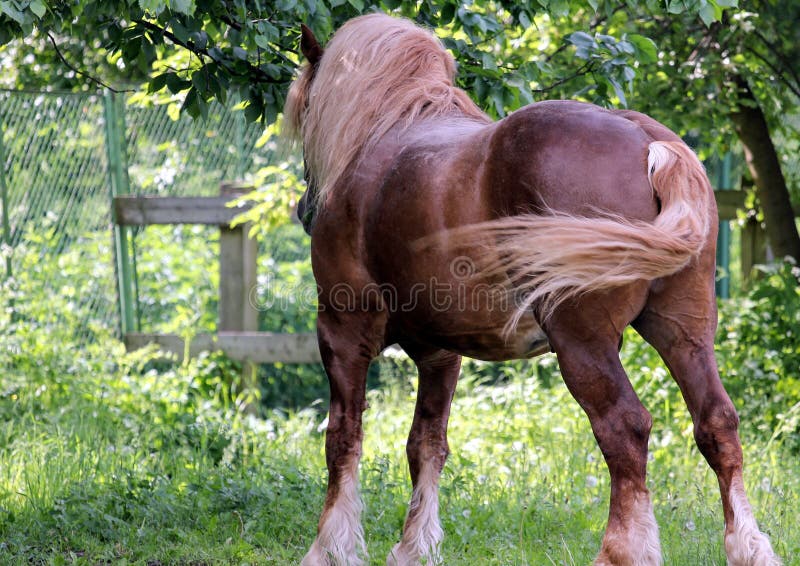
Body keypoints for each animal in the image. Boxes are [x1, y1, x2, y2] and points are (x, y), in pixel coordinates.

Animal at [284, 13, 780, 566]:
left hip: (583, 342)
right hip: (683, 331)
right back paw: (748, 545)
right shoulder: (439, 354)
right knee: (718, 423)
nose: (305, 209)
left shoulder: (343, 332)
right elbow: (426, 444)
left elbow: (343, 438)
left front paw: (331, 546)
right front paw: (415, 548)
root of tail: (647, 141)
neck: (381, 135)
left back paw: (622, 551)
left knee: (625, 427)